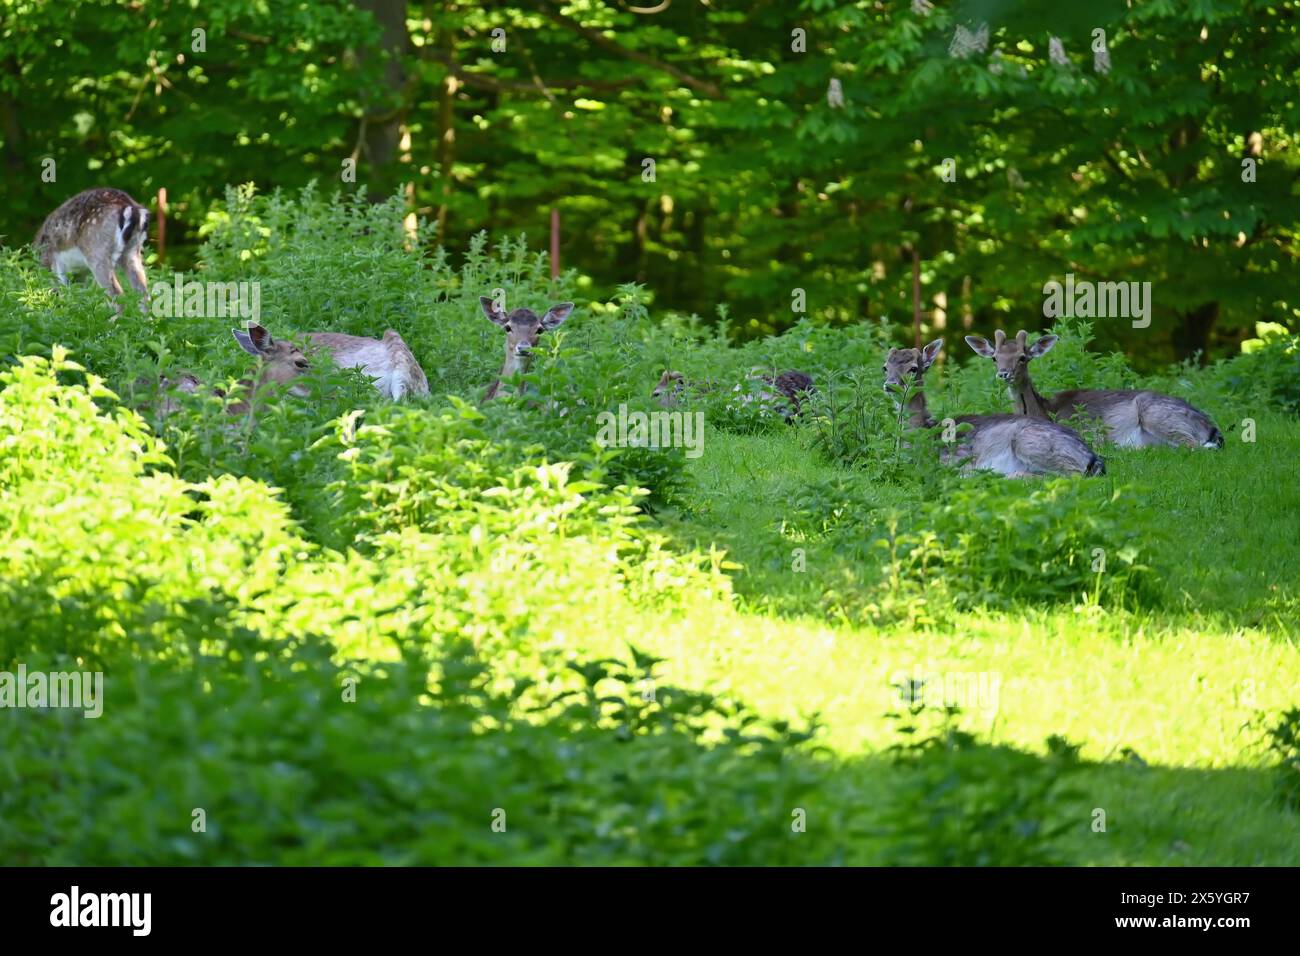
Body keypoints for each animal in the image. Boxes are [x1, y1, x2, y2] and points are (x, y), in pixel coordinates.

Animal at [884, 340, 1105, 478]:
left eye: (913, 368)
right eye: (885, 367)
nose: (889, 385)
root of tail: (1092, 457)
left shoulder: (954, 459)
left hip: (1029, 442)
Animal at [964, 329, 1224, 449]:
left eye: (1022, 357)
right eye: (994, 358)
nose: (1004, 373)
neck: (1045, 411)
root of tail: (1211, 427)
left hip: (1159, 414)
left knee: (1193, 446)